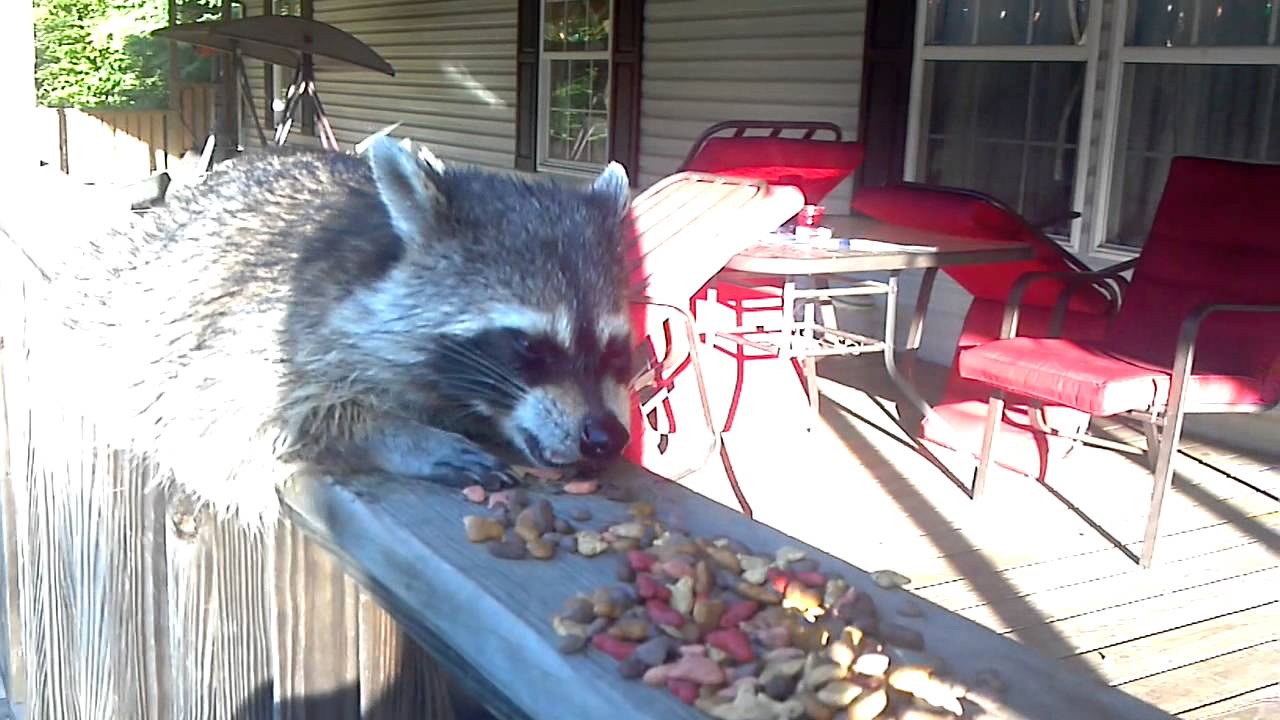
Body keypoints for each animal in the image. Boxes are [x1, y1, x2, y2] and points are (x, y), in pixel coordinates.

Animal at [14, 138, 638, 527]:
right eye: (529, 345)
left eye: (615, 348)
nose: (605, 437)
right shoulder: (261, 329)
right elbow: (245, 415)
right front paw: (391, 431)